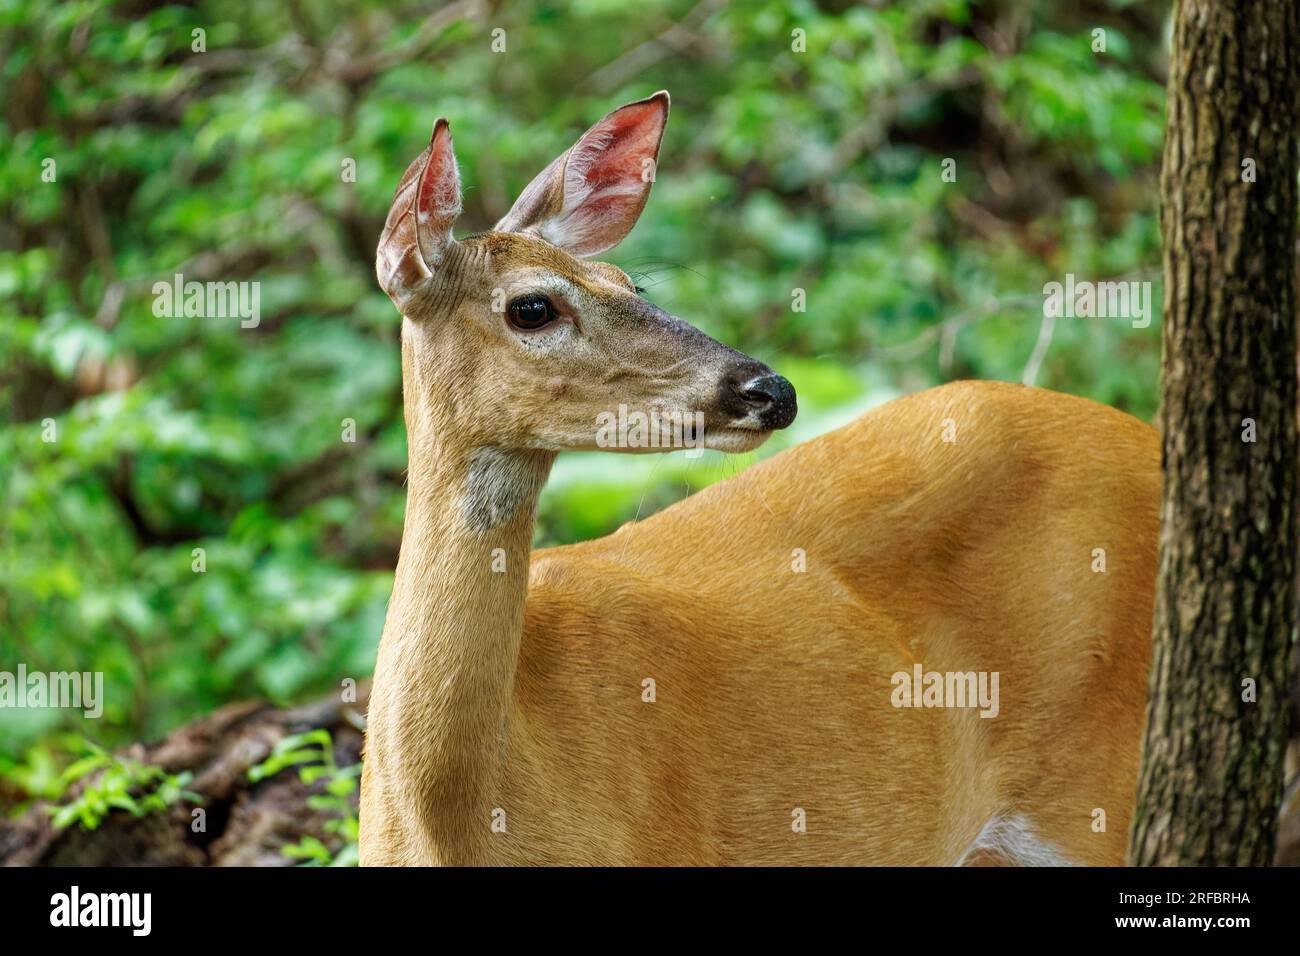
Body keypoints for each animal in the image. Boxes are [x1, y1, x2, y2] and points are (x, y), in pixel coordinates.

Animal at [359, 90, 1162, 866]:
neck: (468, 818)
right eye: (532, 306)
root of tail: (1150, 437)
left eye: (629, 281)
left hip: (1098, 787)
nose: (770, 389)